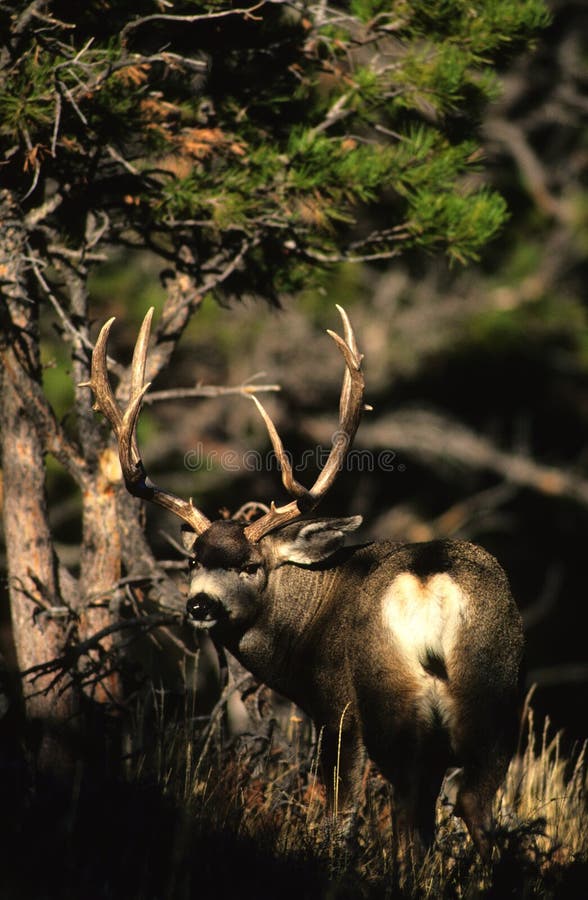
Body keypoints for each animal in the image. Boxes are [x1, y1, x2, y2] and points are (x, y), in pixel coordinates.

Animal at [85, 305, 524, 863]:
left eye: (251, 565)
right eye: (191, 561)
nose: (201, 605)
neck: (302, 630)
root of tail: (430, 578)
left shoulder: (335, 709)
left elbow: (340, 813)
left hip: (386, 695)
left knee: (413, 808)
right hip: (495, 687)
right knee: (468, 804)